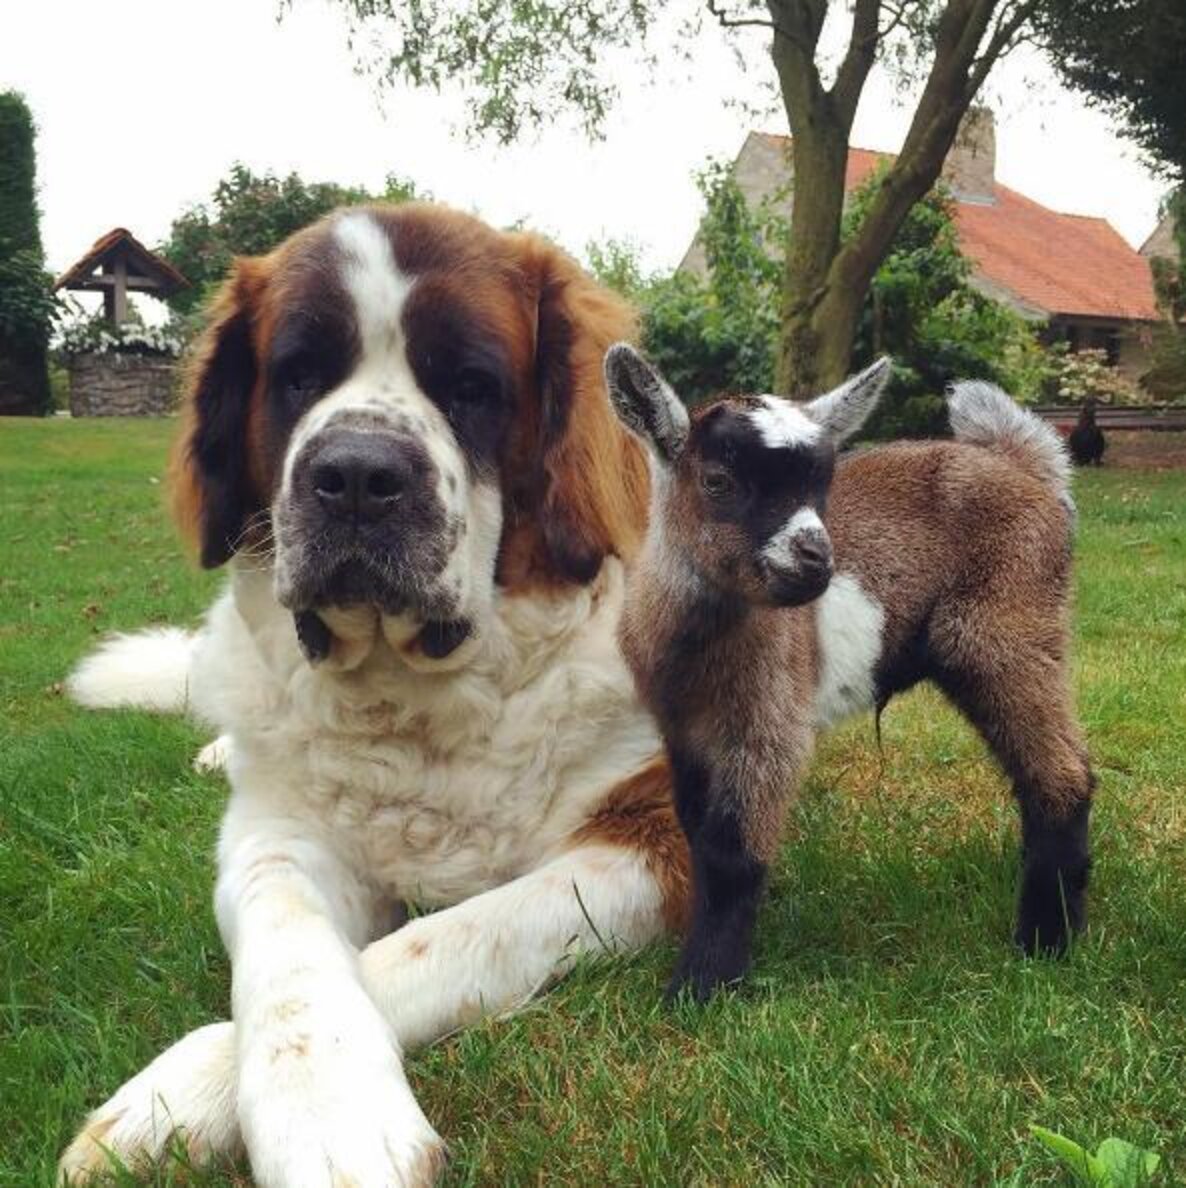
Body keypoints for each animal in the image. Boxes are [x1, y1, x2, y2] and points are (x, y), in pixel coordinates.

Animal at [603, 344, 1094, 1001]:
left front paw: (702, 987)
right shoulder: (683, 728)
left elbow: (733, 854)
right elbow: (696, 831)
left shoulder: (772, 724)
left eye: (822, 485)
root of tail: (1027, 465)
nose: (817, 559)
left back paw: (1044, 942)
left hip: (1006, 627)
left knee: (1061, 771)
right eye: (718, 481)